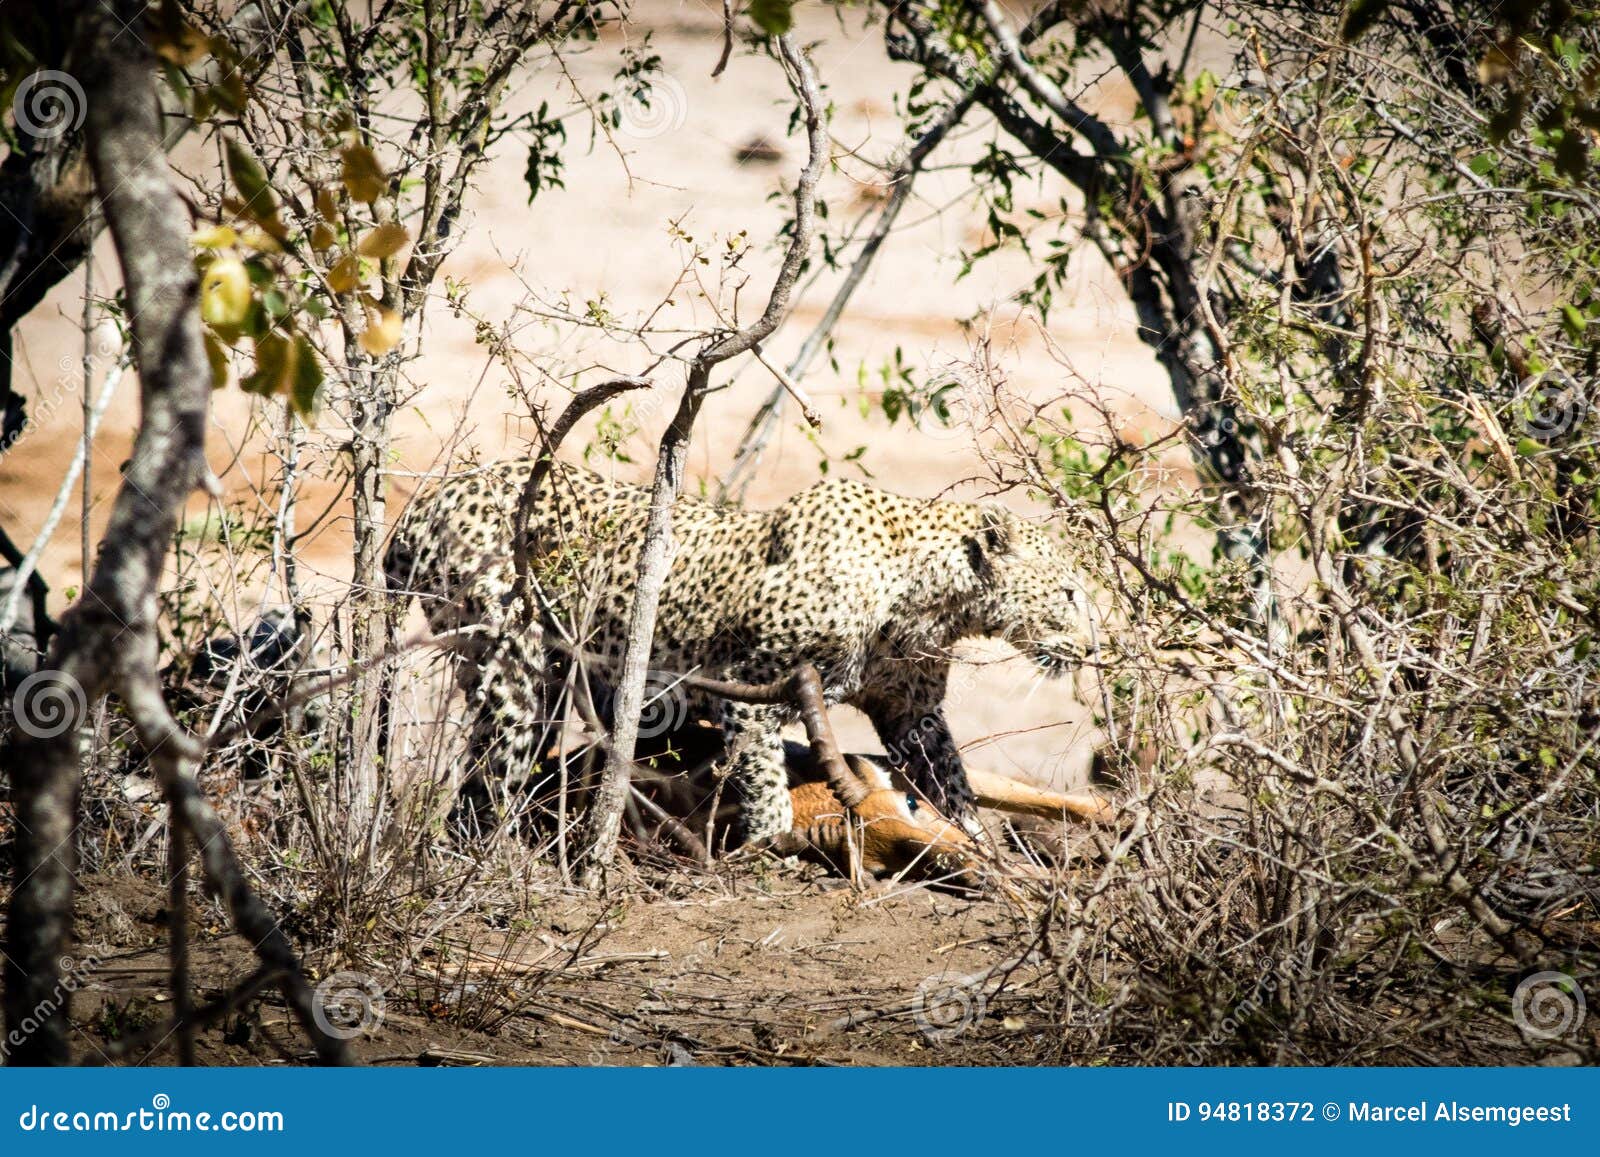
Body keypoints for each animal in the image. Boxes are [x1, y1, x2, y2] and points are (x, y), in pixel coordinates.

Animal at [382, 459, 1091, 844]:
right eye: (1070, 592)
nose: (1091, 646)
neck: (930, 604)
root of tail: (428, 498)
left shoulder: (909, 711)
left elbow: (950, 776)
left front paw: (976, 838)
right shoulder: (748, 690)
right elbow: (766, 780)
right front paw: (774, 843)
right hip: (513, 665)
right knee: (488, 777)